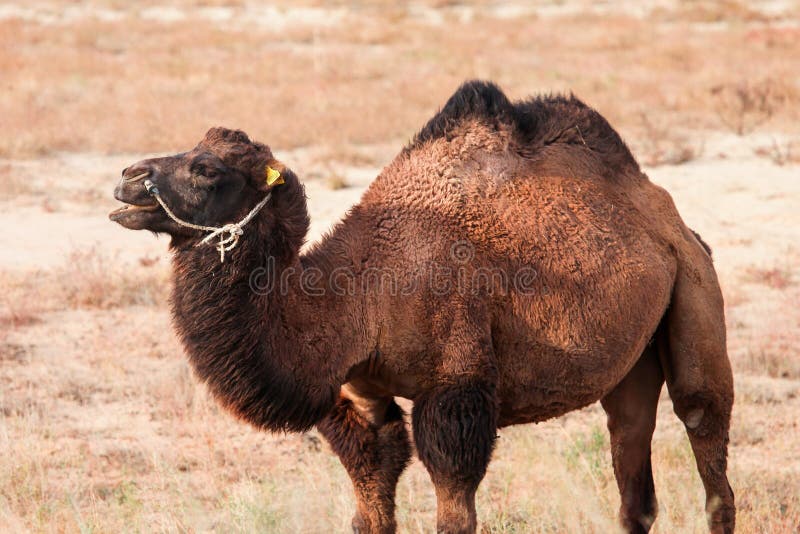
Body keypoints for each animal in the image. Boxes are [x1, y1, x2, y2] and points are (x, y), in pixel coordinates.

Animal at [110, 81, 735, 534]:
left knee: (703, 425)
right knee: (631, 457)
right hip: (632, 355)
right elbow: (371, 495)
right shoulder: (360, 389)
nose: (127, 178)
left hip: (696, 288)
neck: (359, 293)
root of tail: (670, 219)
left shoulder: (455, 383)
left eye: (206, 170)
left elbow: (454, 500)